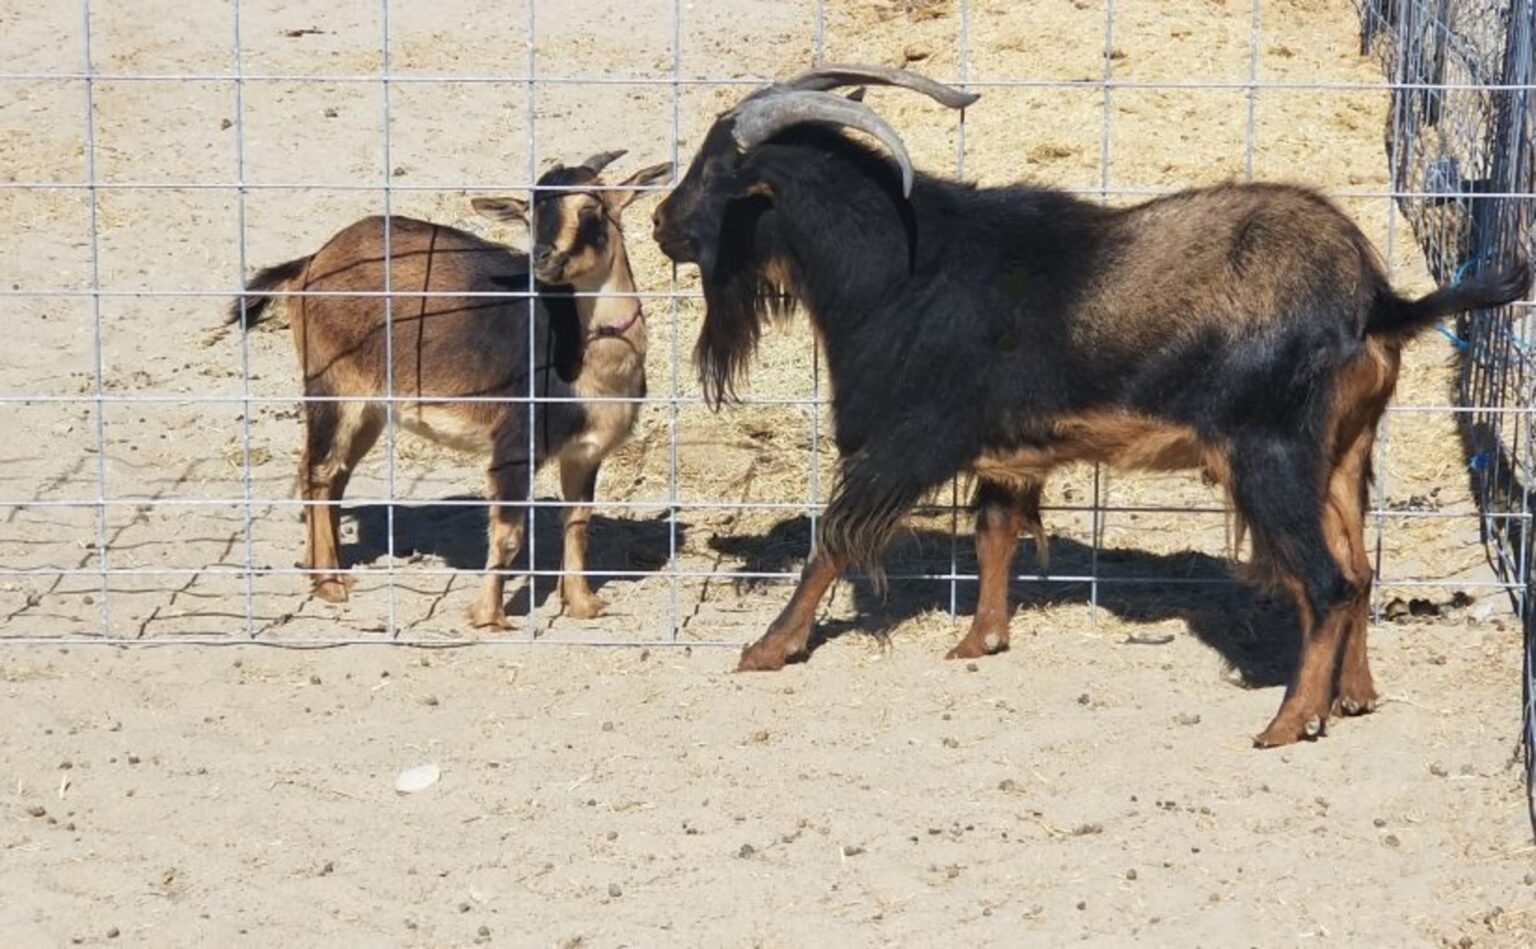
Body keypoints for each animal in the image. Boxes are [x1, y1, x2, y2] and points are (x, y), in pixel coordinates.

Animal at [231, 150, 671, 627]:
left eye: (591, 208)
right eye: (530, 215)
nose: (543, 258)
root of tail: (312, 262)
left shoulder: (584, 453)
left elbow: (578, 525)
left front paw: (582, 604)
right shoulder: (514, 445)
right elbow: (508, 535)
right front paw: (488, 616)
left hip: (371, 408)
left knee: (330, 472)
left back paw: (321, 570)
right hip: (333, 387)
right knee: (320, 470)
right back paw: (329, 584)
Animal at [651, 64, 1531, 747]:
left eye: (718, 174)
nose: (661, 223)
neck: (900, 267)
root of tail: (1376, 300)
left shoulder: (909, 439)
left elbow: (832, 541)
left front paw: (767, 648)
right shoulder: (1006, 453)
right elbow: (994, 535)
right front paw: (979, 641)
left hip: (1271, 455)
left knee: (1326, 581)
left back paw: (1287, 722)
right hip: (1343, 454)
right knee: (1358, 565)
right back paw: (1354, 695)